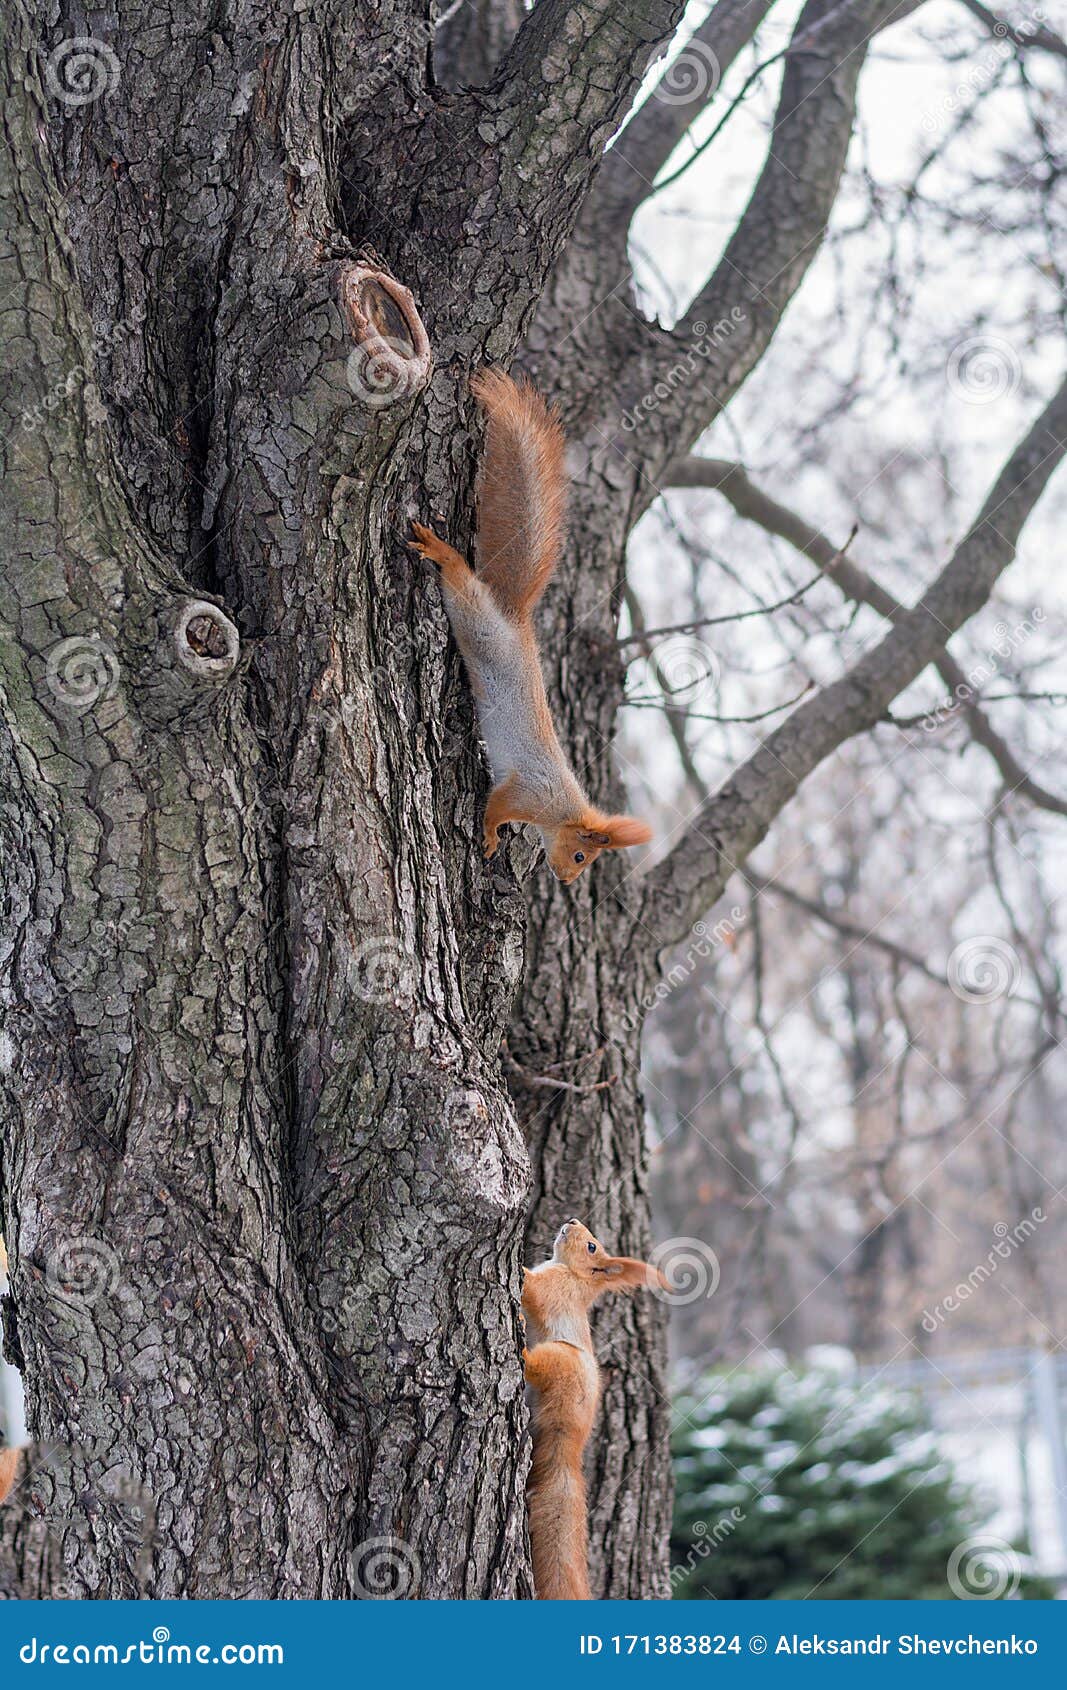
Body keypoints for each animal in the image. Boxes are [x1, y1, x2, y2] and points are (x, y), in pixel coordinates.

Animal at [409, 368, 652, 884]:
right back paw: (442, 552)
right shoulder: (526, 792)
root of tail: (513, 616)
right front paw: (489, 836)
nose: (566, 879)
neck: (561, 809)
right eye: (581, 856)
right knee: (459, 579)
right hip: (476, 619)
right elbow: (495, 807)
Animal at [521, 1218, 668, 1600]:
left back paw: (524, 1355)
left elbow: (531, 1288)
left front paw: (519, 1272)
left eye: (592, 1246)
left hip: (560, 1361)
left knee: (538, 1366)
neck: (574, 1274)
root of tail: (570, 1442)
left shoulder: (554, 1287)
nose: (572, 1220)